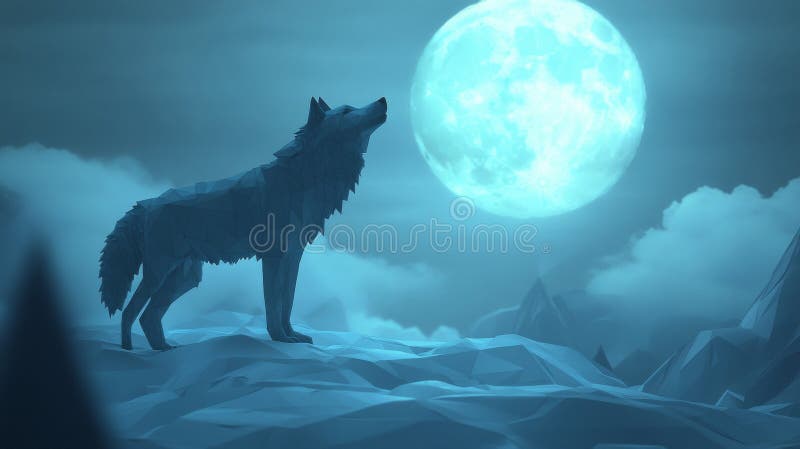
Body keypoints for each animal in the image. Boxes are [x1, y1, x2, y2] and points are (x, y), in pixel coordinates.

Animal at [99, 97, 387, 350]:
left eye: (353, 107)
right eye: (347, 111)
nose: (383, 100)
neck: (305, 177)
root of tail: (145, 204)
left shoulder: (293, 257)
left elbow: (288, 302)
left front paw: (293, 336)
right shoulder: (273, 257)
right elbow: (274, 305)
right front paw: (280, 338)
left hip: (186, 278)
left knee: (148, 316)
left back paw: (163, 348)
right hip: (159, 275)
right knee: (130, 311)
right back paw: (128, 350)